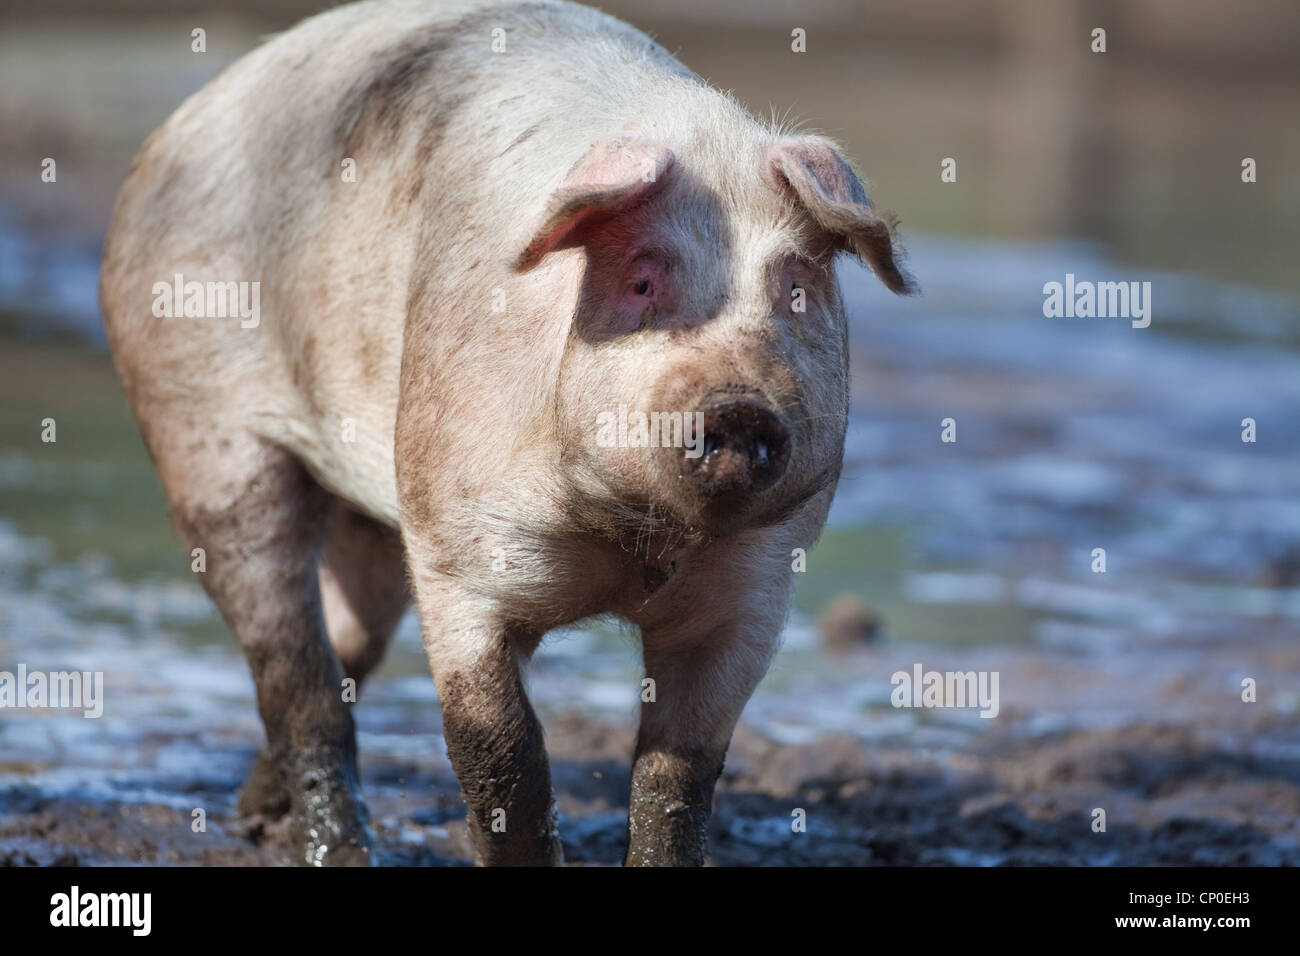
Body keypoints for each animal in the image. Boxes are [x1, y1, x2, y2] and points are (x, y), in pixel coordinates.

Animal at [98, 0, 915, 868]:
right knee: (294, 672)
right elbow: (502, 753)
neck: (632, 541)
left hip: (377, 503)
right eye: (641, 281)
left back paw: (258, 814)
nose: (740, 406)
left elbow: (680, 774)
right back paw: (332, 848)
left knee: (346, 645)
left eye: (797, 289)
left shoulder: (754, 588)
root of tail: (180, 125)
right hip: (198, 425)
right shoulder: (459, 552)